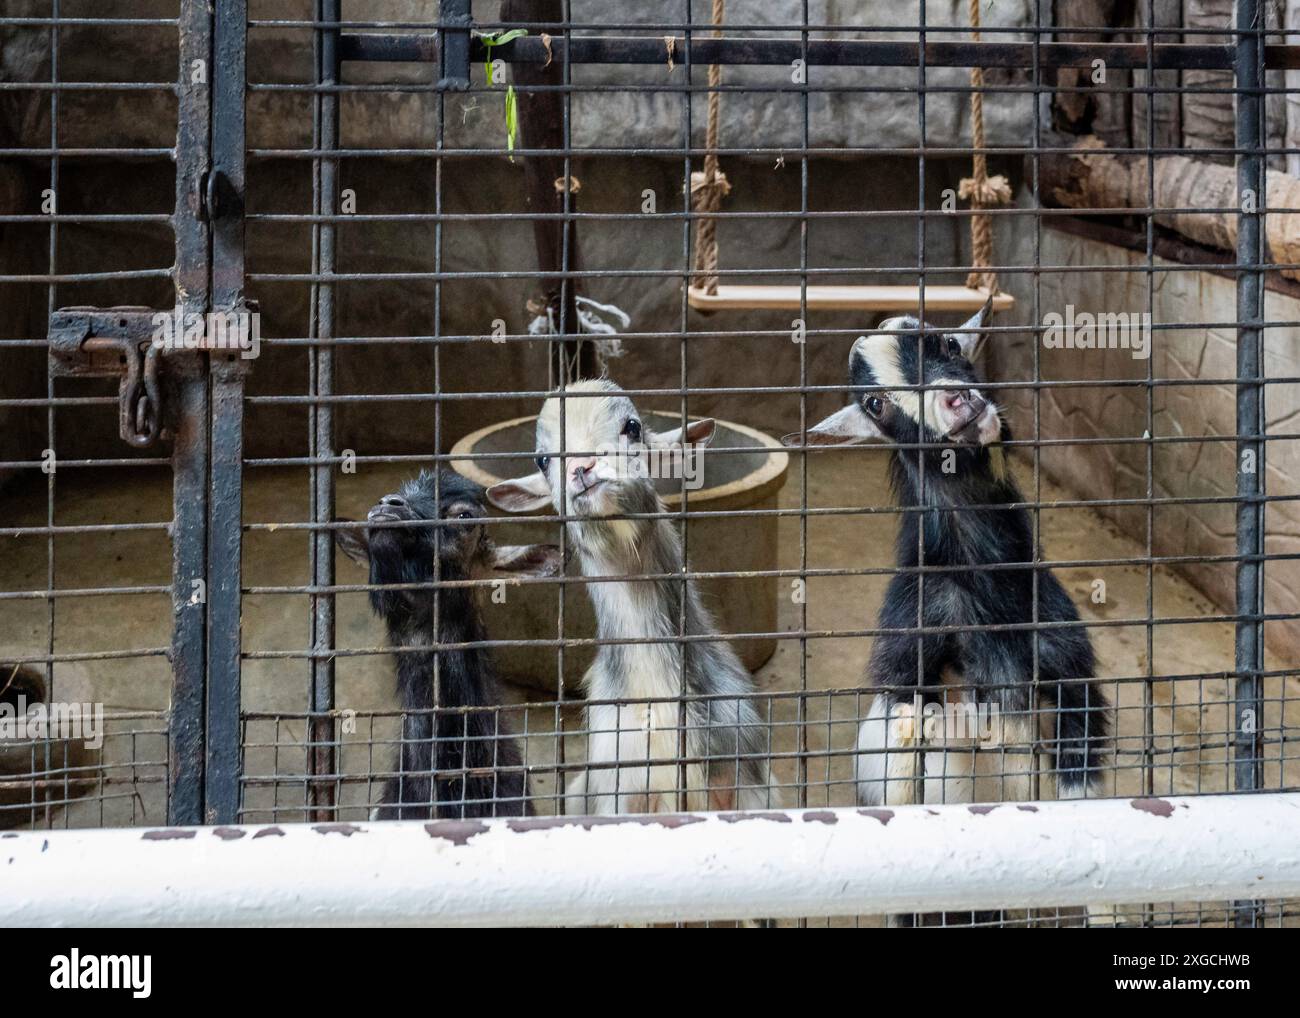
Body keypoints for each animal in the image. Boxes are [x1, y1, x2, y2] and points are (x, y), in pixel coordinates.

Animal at [785, 301, 1109, 809]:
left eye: (949, 343)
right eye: (875, 404)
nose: (955, 400)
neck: (985, 583)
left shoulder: (1069, 663)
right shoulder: (909, 656)